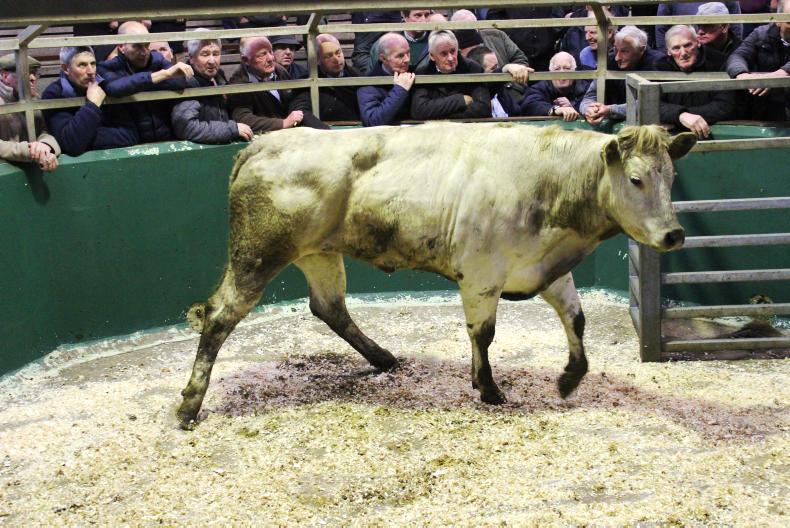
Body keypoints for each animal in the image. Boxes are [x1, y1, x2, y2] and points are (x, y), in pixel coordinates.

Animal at [177, 122, 696, 428]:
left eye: (671, 176)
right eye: (635, 179)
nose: (673, 234)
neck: (547, 181)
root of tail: (265, 143)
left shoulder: (546, 269)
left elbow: (576, 320)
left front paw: (569, 378)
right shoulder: (481, 274)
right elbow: (483, 334)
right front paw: (488, 389)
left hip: (319, 254)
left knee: (330, 308)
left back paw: (383, 358)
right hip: (257, 256)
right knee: (217, 318)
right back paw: (188, 405)